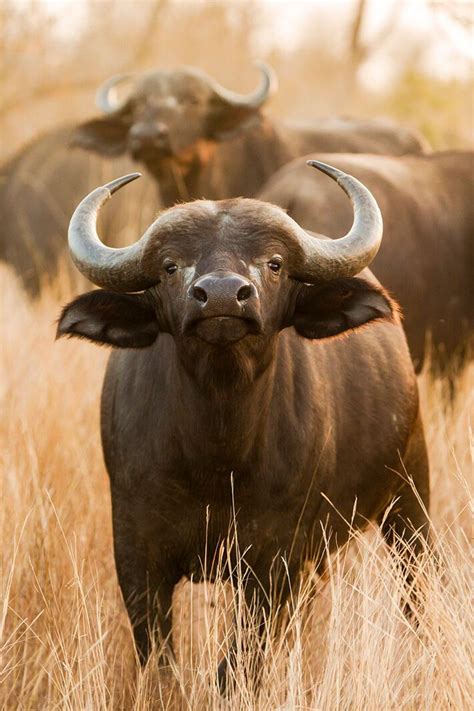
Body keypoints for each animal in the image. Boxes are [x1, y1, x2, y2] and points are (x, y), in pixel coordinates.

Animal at [58, 161, 430, 691]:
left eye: (273, 263)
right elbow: (161, 664)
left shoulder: (276, 563)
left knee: (415, 585)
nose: (220, 296)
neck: (217, 456)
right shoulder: (136, 555)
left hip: (410, 496)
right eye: (170, 265)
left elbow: (237, 668)